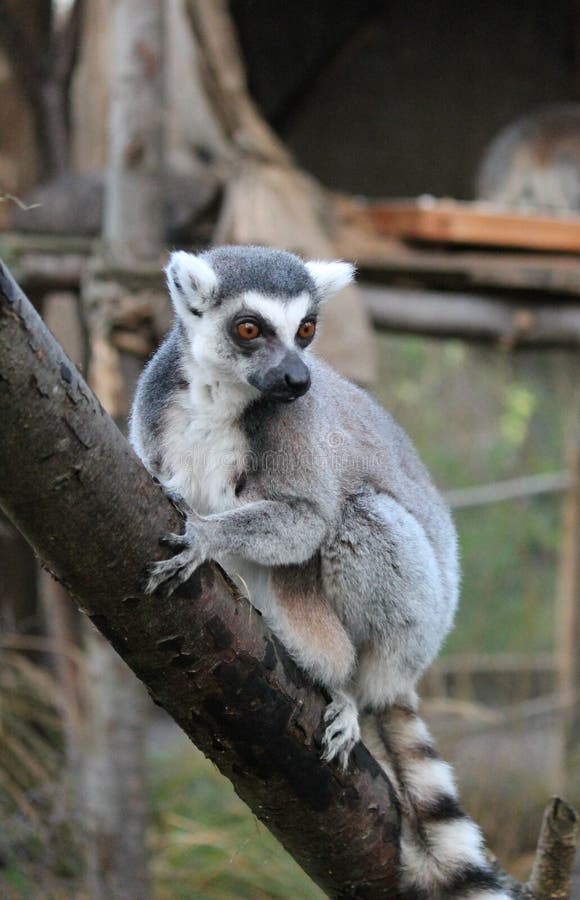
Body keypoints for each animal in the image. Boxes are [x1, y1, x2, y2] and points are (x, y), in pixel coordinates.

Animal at [129, 245, 510, 900]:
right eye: (250, 328)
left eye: (306, 329)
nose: (297, 379)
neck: (217, 397)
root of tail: (402, 671)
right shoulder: (156, 410)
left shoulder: (294, 430)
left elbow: (308, 521)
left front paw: (205, 536)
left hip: (415, 617)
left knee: (358, 518)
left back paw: (348, 688)